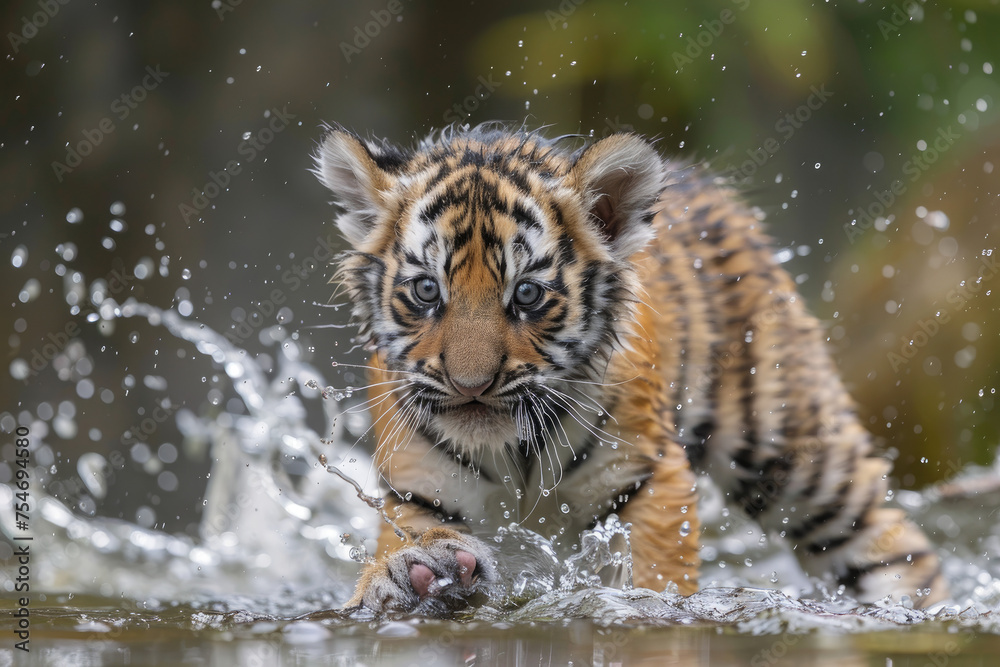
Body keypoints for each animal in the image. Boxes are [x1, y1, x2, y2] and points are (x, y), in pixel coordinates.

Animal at [313, 122, 948, 614]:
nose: (471, 385)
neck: (513, 448)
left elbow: (657, 575)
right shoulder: (419, 490)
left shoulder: (647, 475)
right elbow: (400, 544)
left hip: (787, 448)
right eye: (426, 291)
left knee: (893, 542)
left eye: (527, 295)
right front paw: (418, 572)